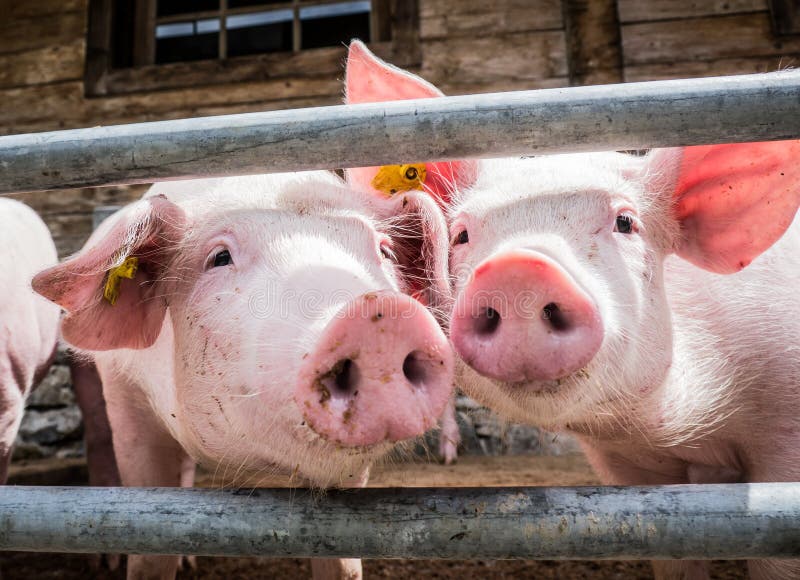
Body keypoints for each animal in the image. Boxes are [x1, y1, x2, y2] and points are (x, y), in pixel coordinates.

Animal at [33, 170, 455, 580]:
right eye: (220, 257)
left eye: (384, 251)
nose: (377, 315)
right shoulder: (126, 396)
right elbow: (149, 554)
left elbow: (342, 564)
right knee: (98, 438)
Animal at [344, 45, 800, 579]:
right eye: (461, 235)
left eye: (626, 222)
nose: (518, 270)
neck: (688, 433)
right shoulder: (635, 476)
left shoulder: (784, 442)